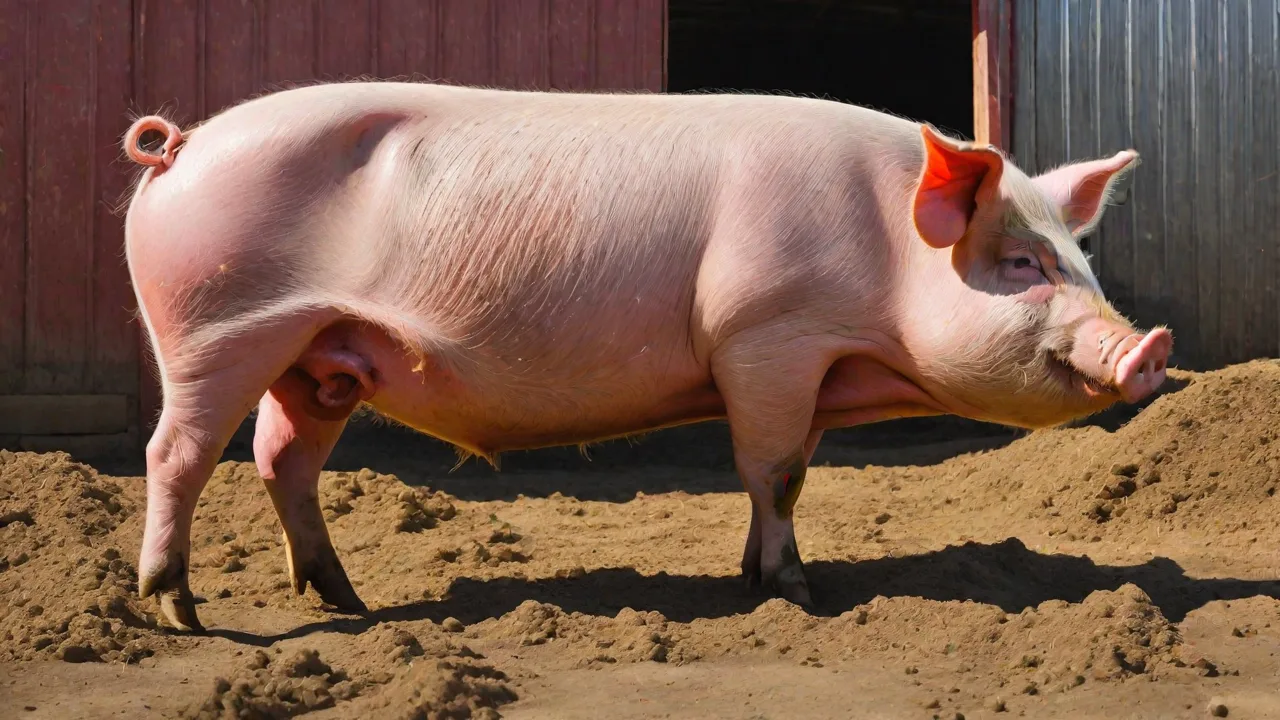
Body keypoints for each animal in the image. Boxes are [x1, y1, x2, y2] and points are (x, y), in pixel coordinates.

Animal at [119, 81, 1170, 632]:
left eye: (1080, 260)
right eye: (1022, 263)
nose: (1149, 348)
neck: (883, 261)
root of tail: (181, 145)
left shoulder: (803, 367)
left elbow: (784, 475)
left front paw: (751, 577)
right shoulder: (766, 334)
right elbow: (776, 470)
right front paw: (797, 596)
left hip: (318, 352)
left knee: (282, 457)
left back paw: (347, 602)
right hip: (217, 328)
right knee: (178, 454)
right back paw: (180, 612)